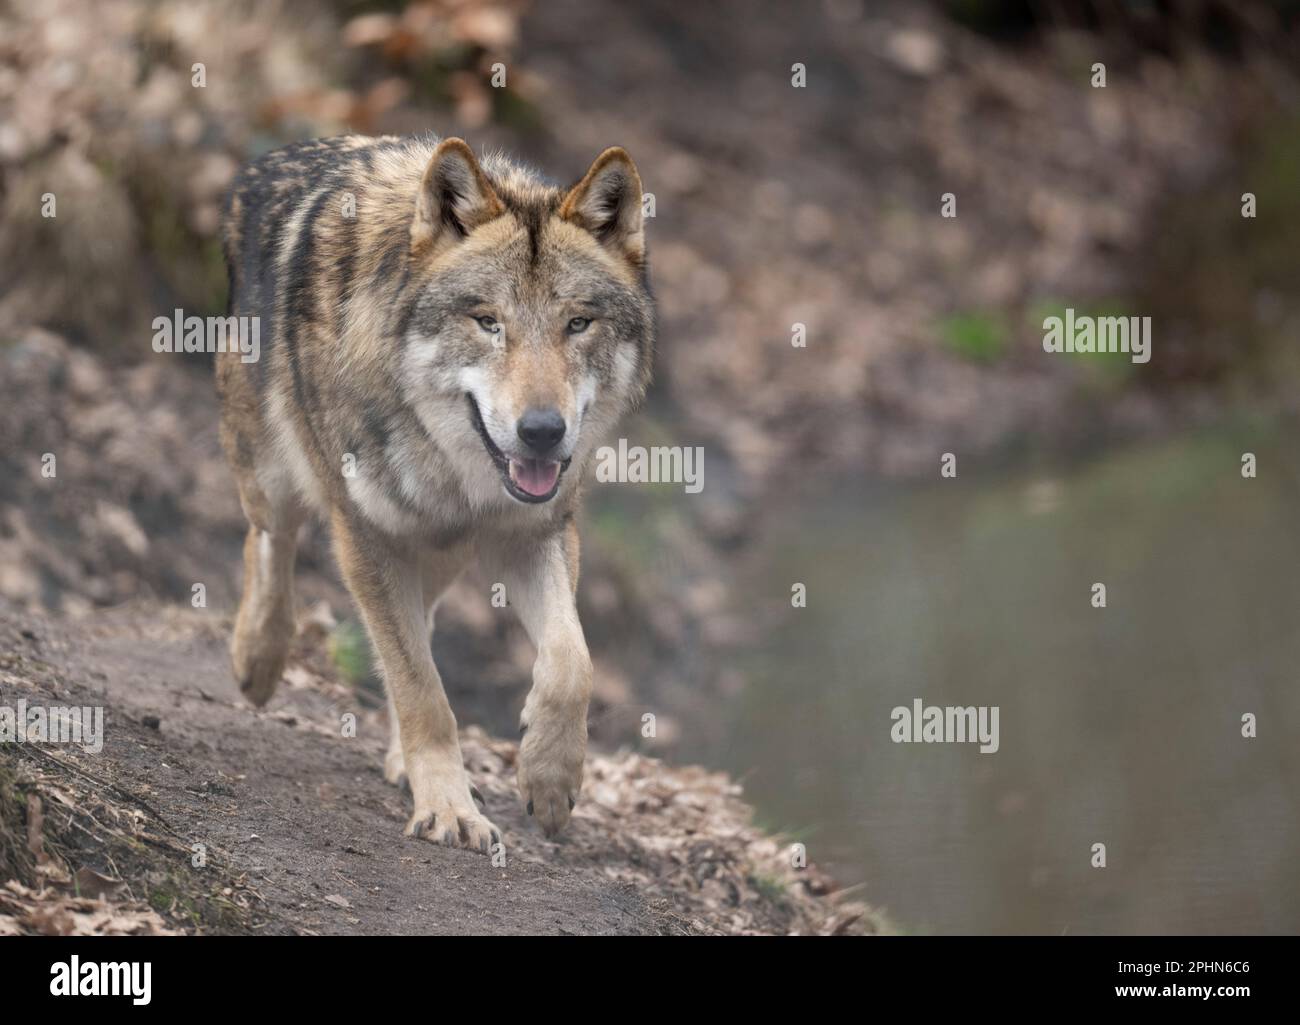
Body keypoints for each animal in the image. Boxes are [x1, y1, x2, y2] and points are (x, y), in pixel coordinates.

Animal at [215, 134, 653, 850]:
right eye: (488, 322)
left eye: (578, 324)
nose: (541, 433)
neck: (458, 470)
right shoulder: (366, 539)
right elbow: (421, 688)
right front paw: (450, 808)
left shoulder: (537, 534)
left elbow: (571, 661)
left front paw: (548, 779)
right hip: (274, 476)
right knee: (269, 543)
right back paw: (258, 657)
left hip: (441, 551)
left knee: (421, 618)